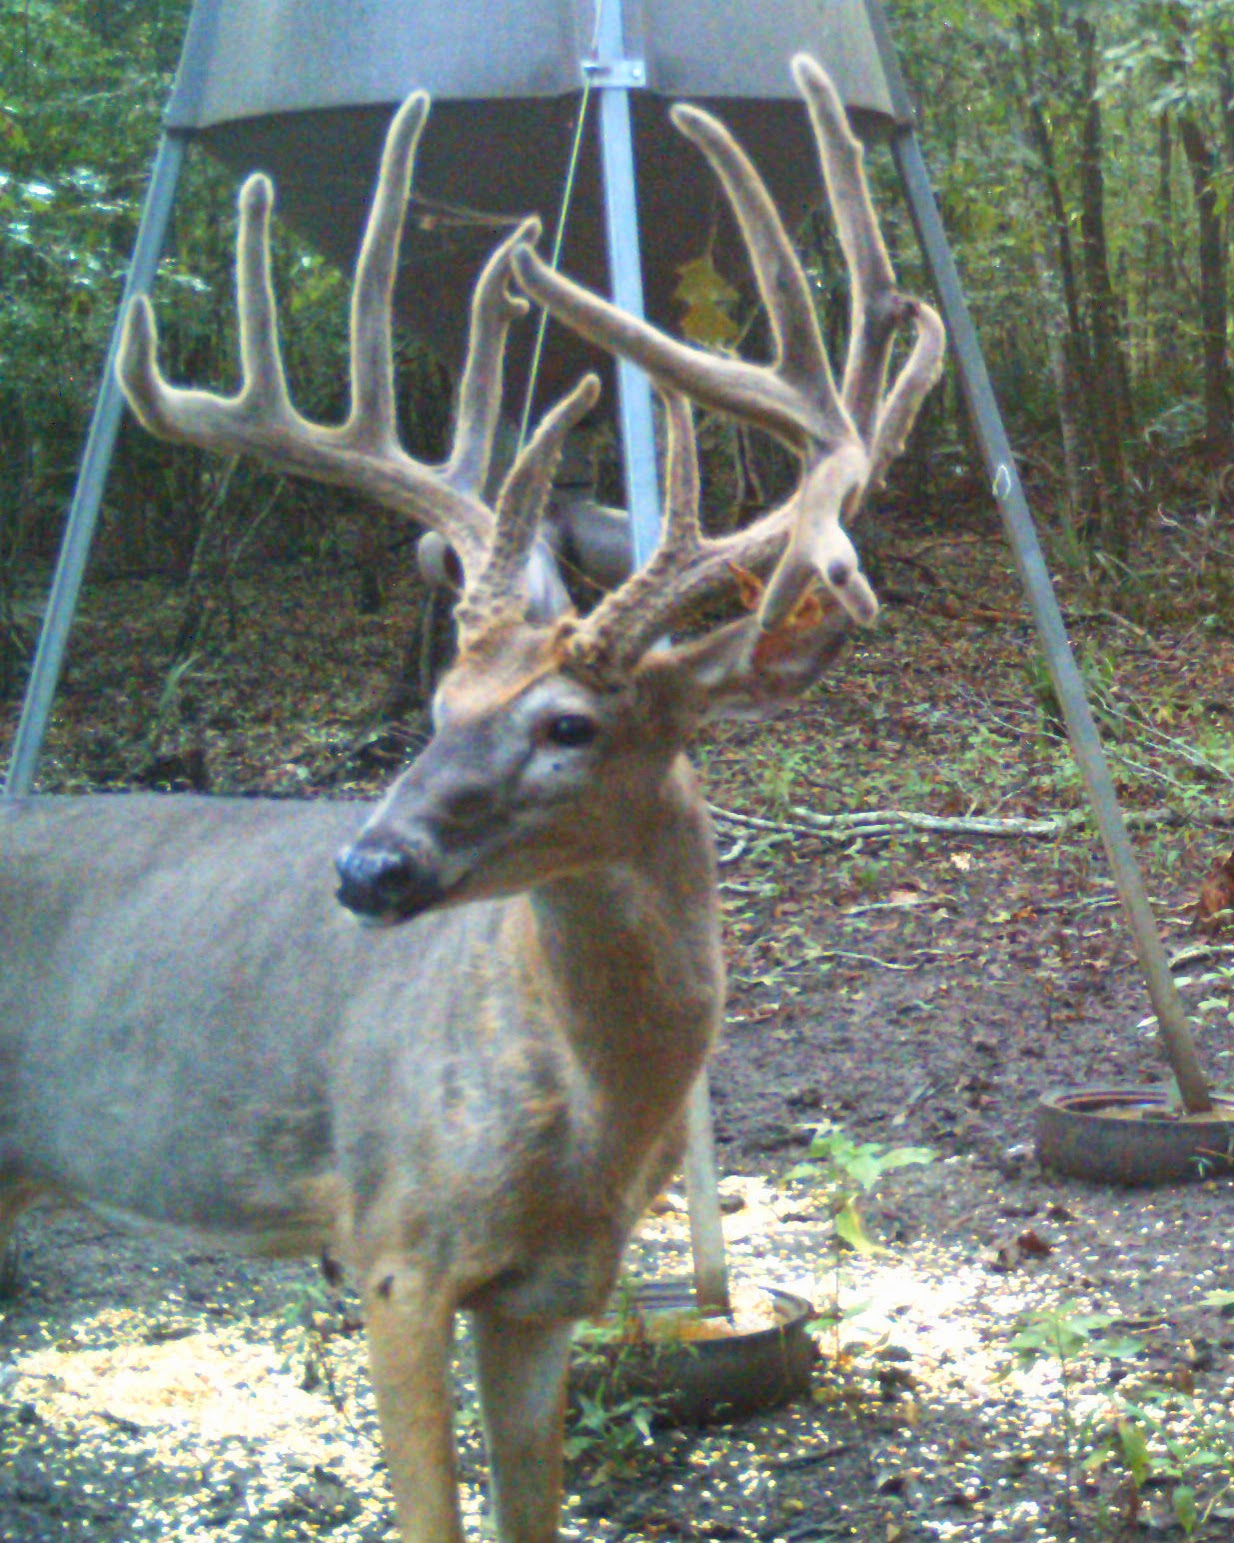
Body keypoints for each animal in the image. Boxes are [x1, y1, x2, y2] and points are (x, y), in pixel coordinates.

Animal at [0, 56, 943, 1543]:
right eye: (437, 705)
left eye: (567, 723)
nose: (366, 868)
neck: (578, 1116)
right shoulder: (391, 1246)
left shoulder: (548, 1289)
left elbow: (530, 1506)